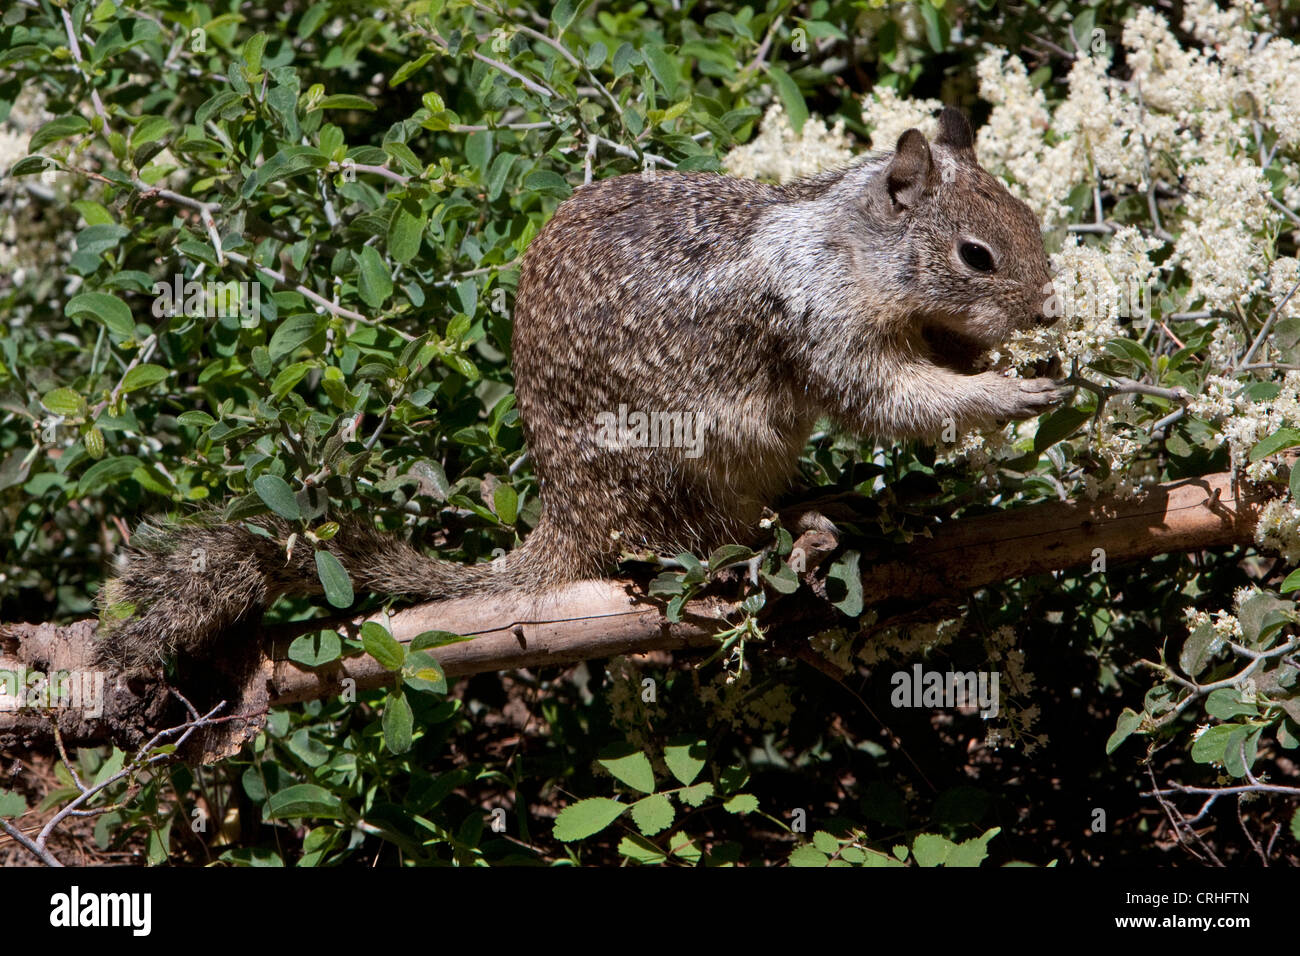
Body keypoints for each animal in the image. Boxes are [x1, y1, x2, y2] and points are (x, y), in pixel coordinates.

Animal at [98, 106, 1065, 670]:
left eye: (1029, 214)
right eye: (976, 256)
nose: (1049, 310)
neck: (850, 245)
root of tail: (566, 514)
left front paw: (1020, 370)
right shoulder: (826, 327)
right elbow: (893, 399)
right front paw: (1008, 396)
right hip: (694, 459)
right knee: (687, 543)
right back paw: (796, 533)